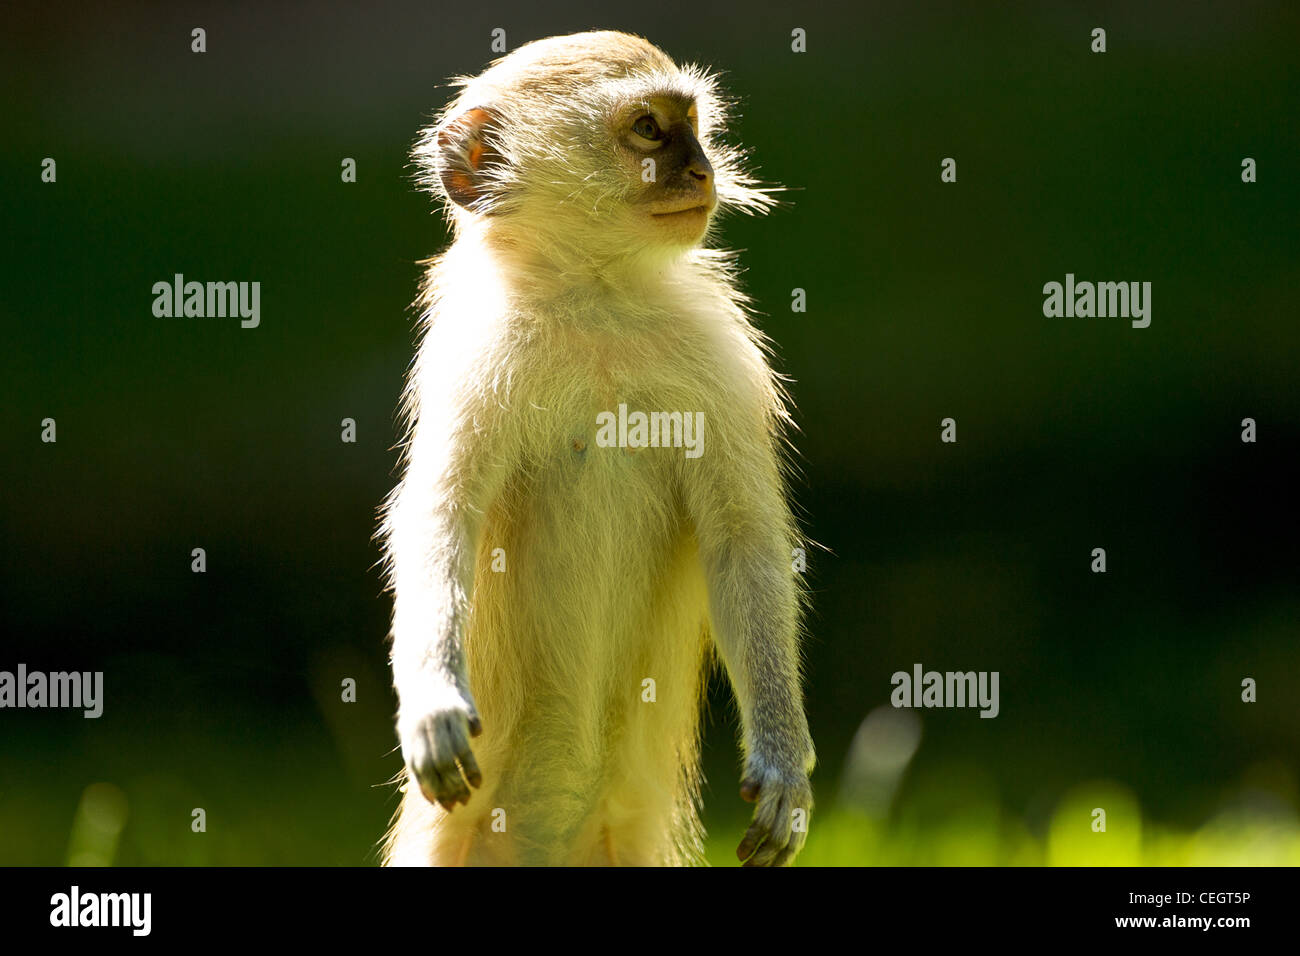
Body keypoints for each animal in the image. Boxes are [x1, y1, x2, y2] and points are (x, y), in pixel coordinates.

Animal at [379, 30, 814, 867]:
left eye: (692, 124)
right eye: (648, 129)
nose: (702, 170)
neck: (595, 301)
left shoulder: (719, 357)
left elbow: (742, 541)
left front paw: (783, 763)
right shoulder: (471, 353)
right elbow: (443, 517)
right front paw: (432, 700)